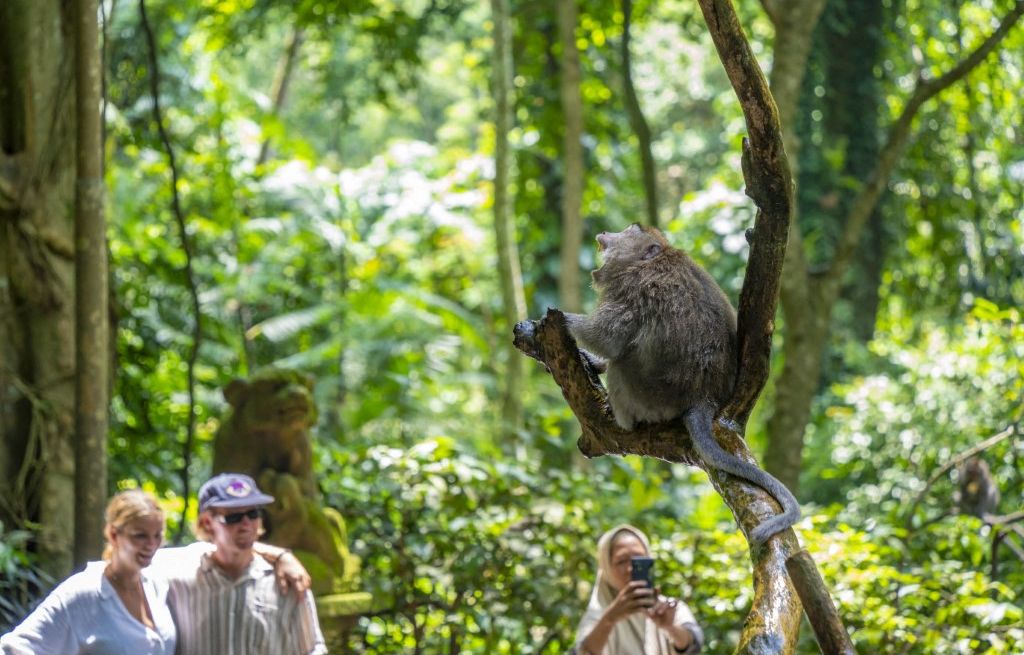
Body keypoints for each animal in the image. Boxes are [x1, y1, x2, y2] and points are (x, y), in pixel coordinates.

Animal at [564, 223, 800, 545]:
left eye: (631, 229)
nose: (607, 232)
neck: (648, 262)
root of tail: (704, 398)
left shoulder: (633, 290)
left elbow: (608, 339)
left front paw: (561, 319)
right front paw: (591, 358)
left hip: (651, 399)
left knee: (622, 362)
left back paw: (622, 420)